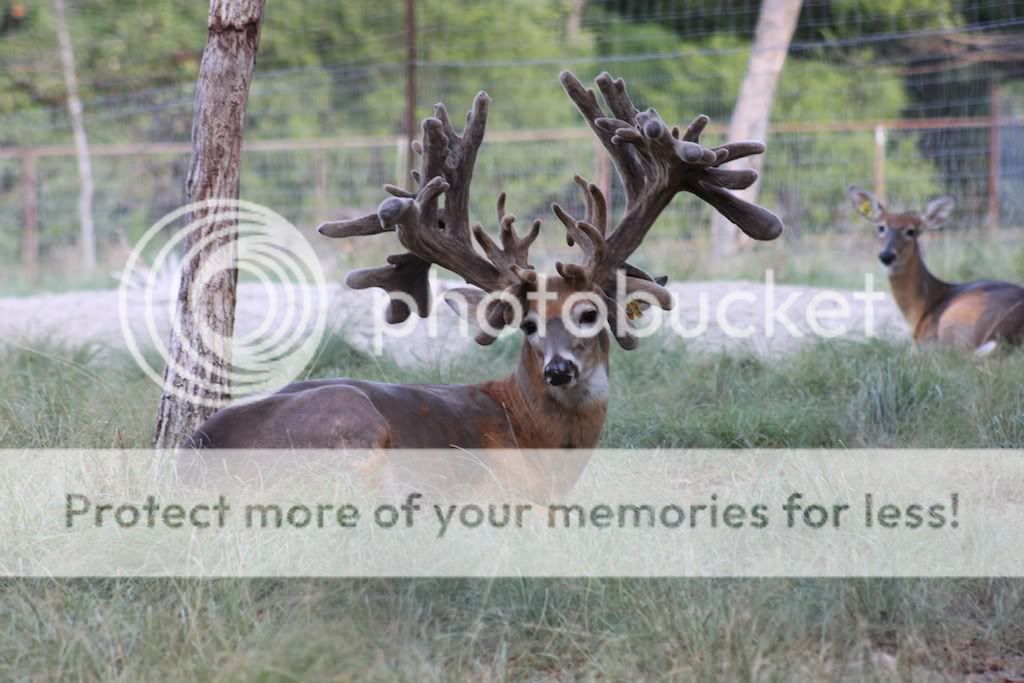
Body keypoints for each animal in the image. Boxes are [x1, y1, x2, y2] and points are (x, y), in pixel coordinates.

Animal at [187, 71, 782, 466]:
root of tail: (194, 452)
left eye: (590, 313)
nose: (558, 369)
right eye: (528, 324)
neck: (528, 434)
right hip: (349, 418)